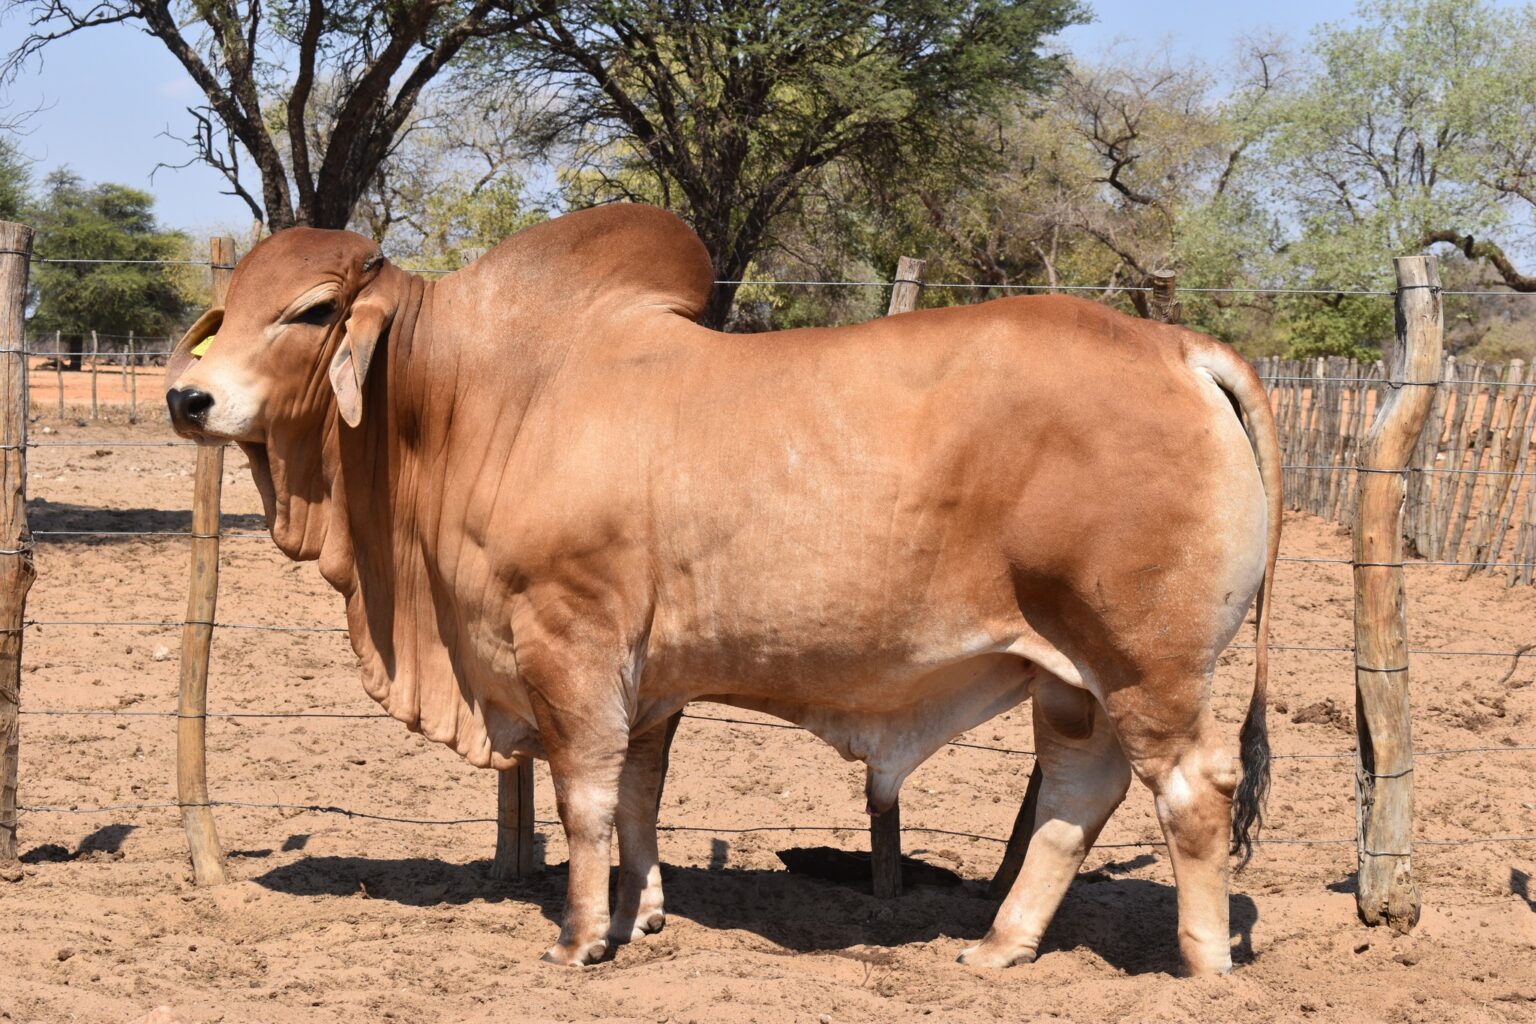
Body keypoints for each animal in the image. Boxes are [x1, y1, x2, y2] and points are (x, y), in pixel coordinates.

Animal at [164, 203, 1280, 975]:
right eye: (237, 306)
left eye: (312, 311)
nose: (188, 397)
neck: (477, 399)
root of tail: (1180, 347)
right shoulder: (652, 680)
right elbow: (640, 797)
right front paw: (641, 913)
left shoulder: (570, 644)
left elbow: (583, 796)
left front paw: (580, 938)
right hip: (1069, 675)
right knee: (1078, 793)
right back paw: (1001, 945)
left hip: (1145, 660)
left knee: (1194, 788)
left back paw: (1201, 962)